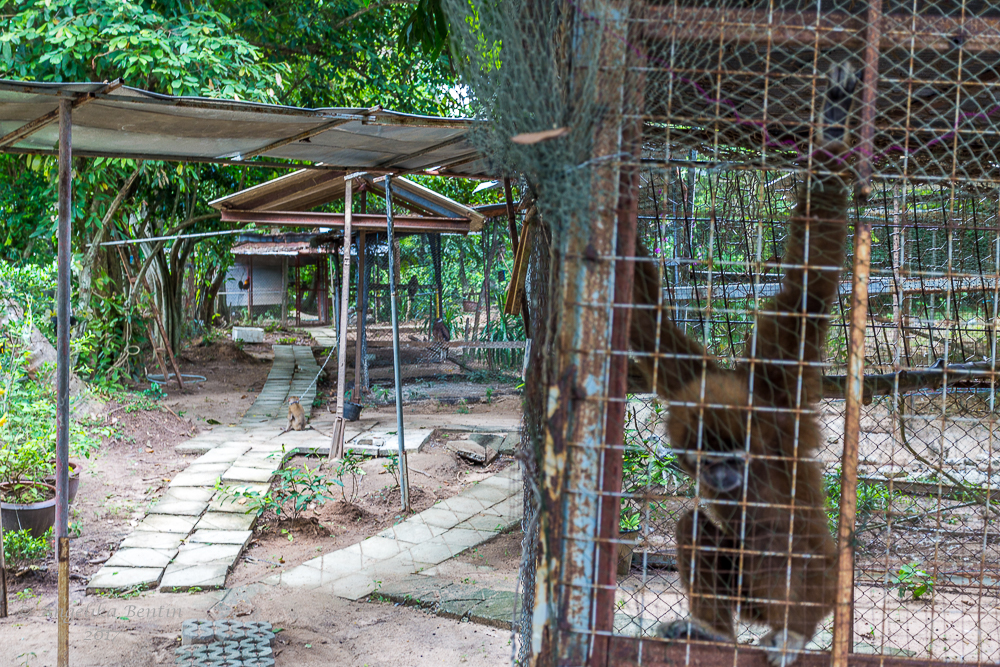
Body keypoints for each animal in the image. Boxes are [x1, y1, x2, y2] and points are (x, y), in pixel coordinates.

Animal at [630, 62, 857, 666]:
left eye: (732, 457)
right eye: (708, 463)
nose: (725, 477)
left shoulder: (778, 388)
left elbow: (808, 287)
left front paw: (833, 121)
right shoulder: (688, 377)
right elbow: (645, 326)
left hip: (817, 581)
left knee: (782, 544)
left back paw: (794, 630)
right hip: (746, 597)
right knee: (695, 522)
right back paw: (713, 632)